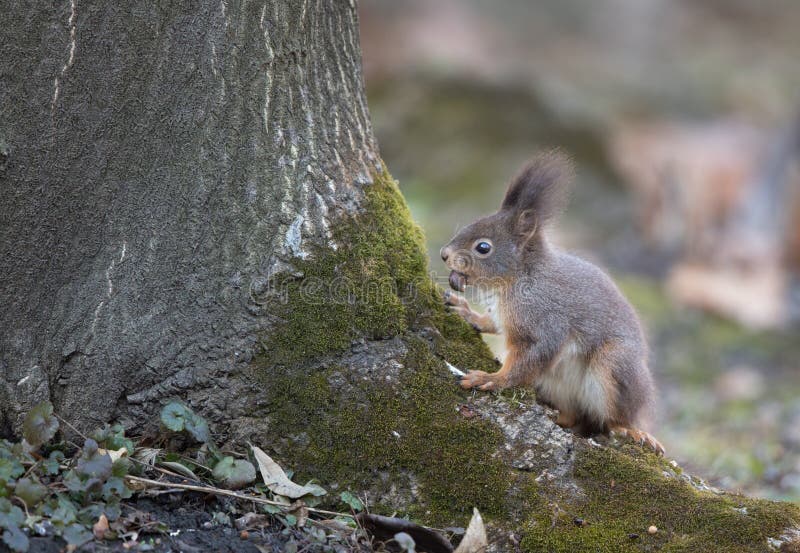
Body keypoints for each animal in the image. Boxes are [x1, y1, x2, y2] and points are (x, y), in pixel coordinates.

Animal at [440, 151, 664, 454]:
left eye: (483, 247)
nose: (444, 254)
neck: (520, 277)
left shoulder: (544, 319)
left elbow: (532, 356)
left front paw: (491, 379)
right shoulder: (504, 314)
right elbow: (493, 323)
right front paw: (466, 311)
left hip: (616, 366)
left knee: (614, 416)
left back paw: (631, 430)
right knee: (572, 416)